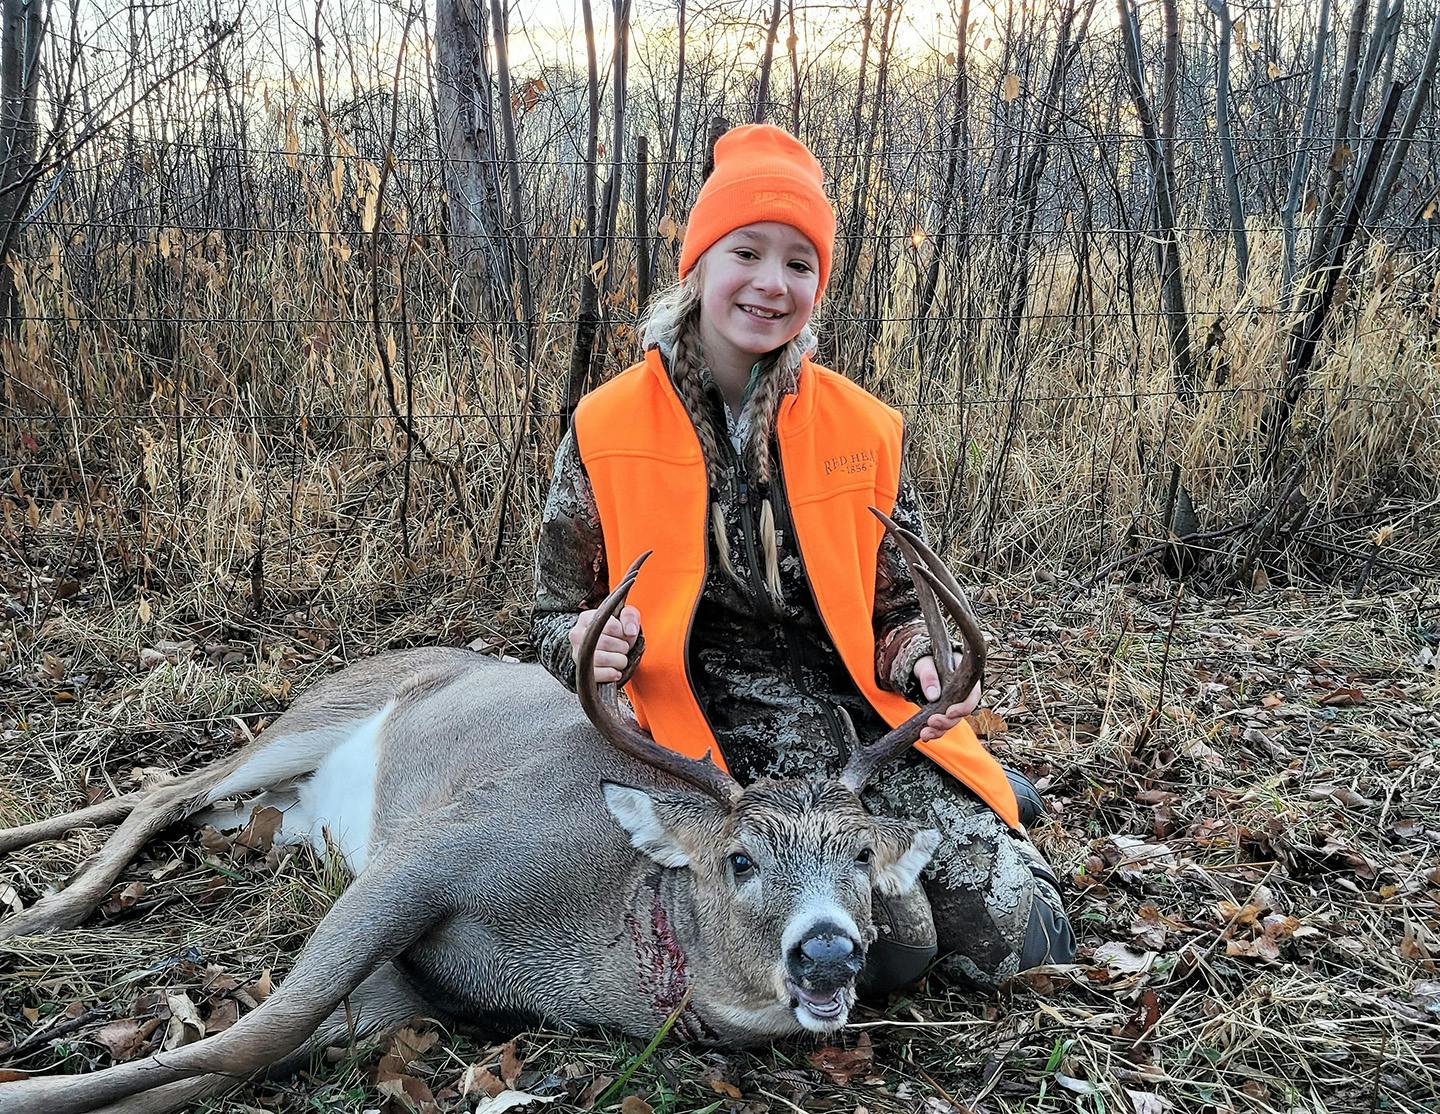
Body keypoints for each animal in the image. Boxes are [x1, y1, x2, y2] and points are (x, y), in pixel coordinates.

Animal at [0, 513, 984, 1114]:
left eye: (862, 858)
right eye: (738, 858)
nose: (828, 952)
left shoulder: (405, 999)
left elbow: (256, 1050)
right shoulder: (432, 850)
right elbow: (263, 1028)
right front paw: (22, 1092)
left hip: (270, 811)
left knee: (171, 796)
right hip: (310, 720)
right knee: (170, 785)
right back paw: (43, 913)